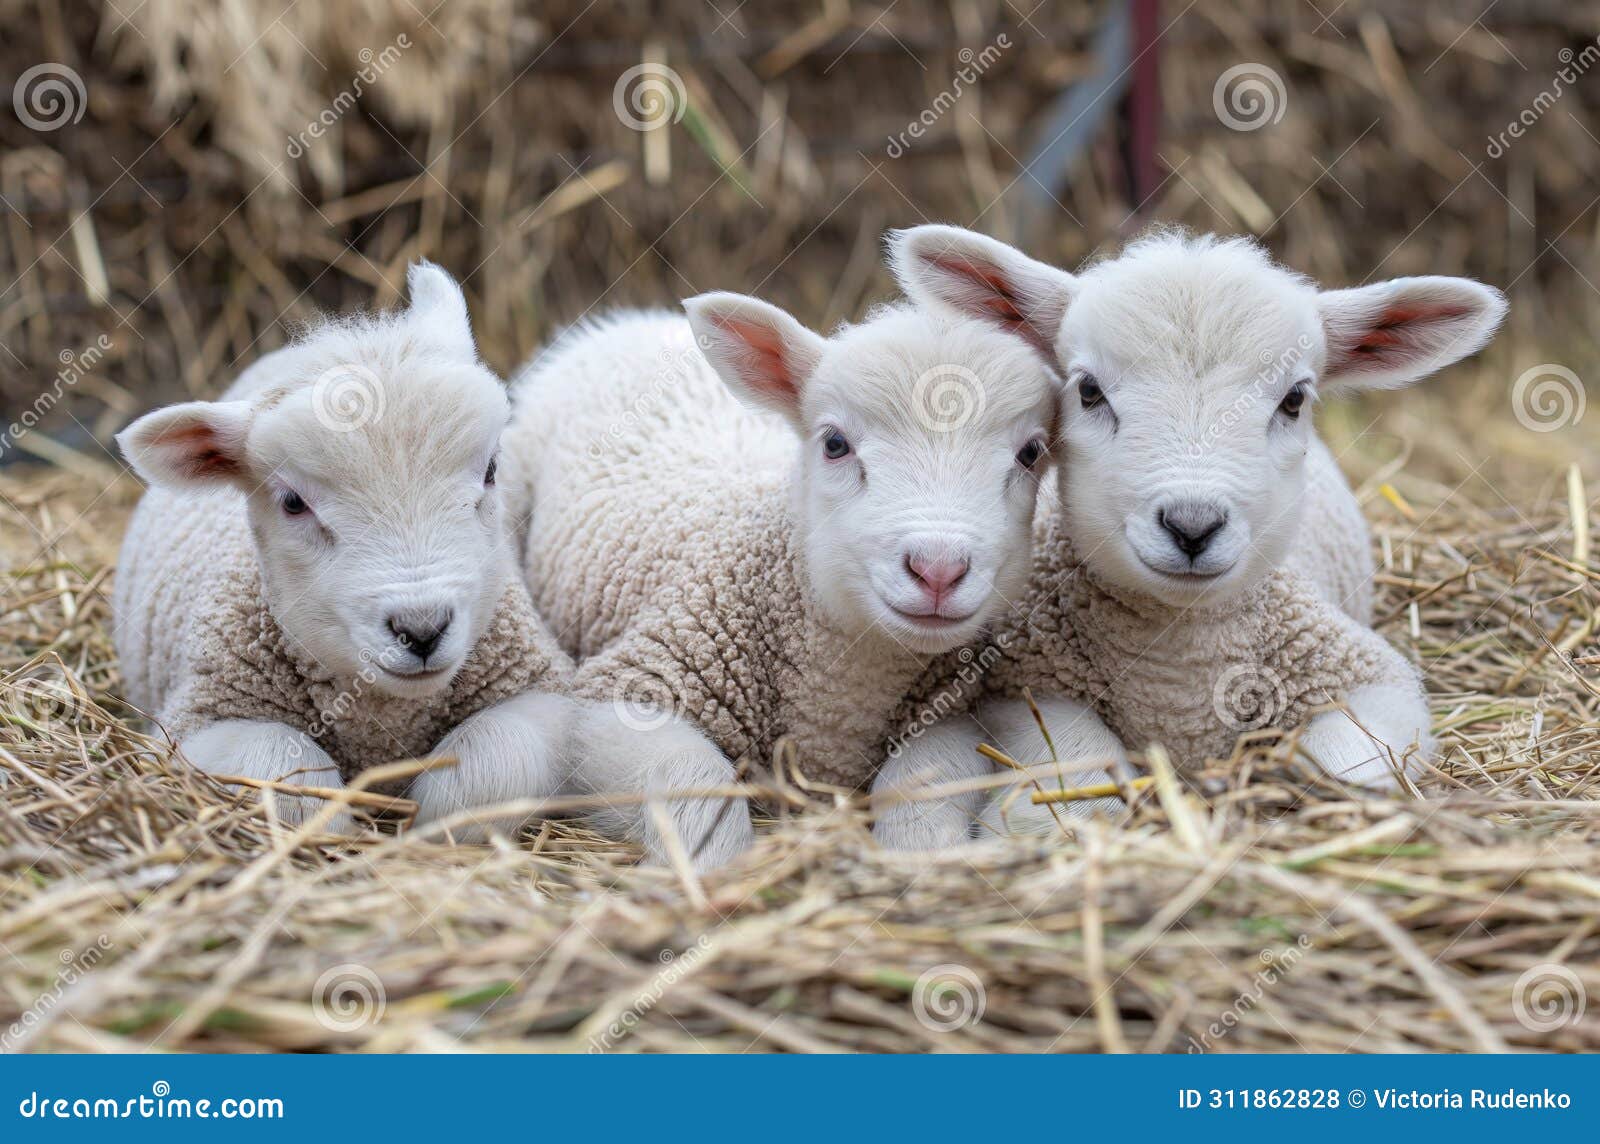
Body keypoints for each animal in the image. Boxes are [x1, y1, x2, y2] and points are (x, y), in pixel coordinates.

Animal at [114, 263, 579, 837]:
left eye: (492, 470)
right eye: (293, 502)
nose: (421, 629)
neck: (383, 719)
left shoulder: (546, 696)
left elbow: (486, 770)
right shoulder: (197, 723)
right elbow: (284, 775)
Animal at [500, 295, 1068, 858]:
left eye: (1030, 453)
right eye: (835, 443)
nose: (938, 570)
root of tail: (635, 322)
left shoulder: (949, 713)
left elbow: (928, 787)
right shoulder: (622, 692)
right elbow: (695, 784)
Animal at [872, 225, 1506, 842]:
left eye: (1294, 399)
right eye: (1088, 391)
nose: (1192, 526)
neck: (1176, 673)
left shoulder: (1371, 678)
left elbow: (1353, 759)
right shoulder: (1022, 675)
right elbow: (1077, 762)